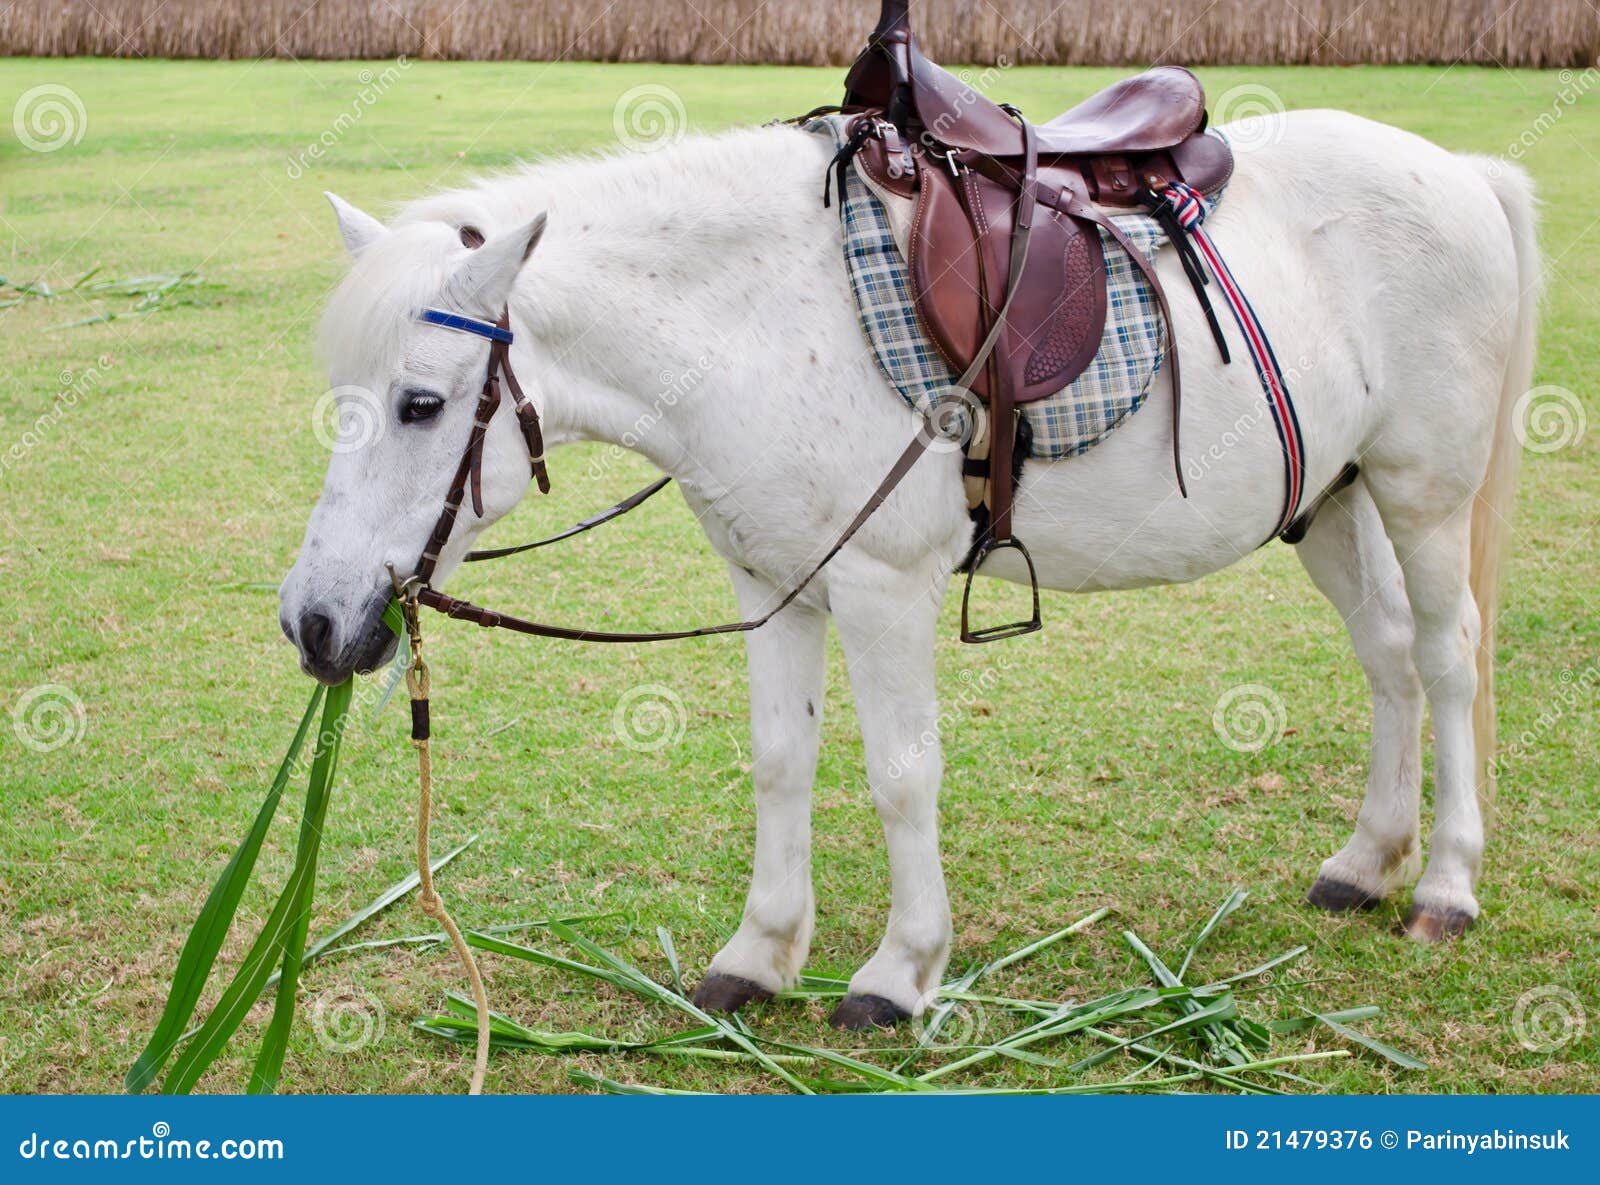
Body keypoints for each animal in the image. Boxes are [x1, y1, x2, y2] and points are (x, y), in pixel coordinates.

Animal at [278, 109, 1539, 1029]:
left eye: (421, 404)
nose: (313, 623)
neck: (752, 323)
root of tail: (1458, 171)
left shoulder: (883, 588)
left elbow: (899, 776)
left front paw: (899, 971)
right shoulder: (772, 583)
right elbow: (779, 763)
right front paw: (759, 956)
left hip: (1423, 495)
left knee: (1446, 660)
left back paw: (1444, 884)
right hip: (1330, 497)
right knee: (1388, 658)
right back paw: (1367, 862)